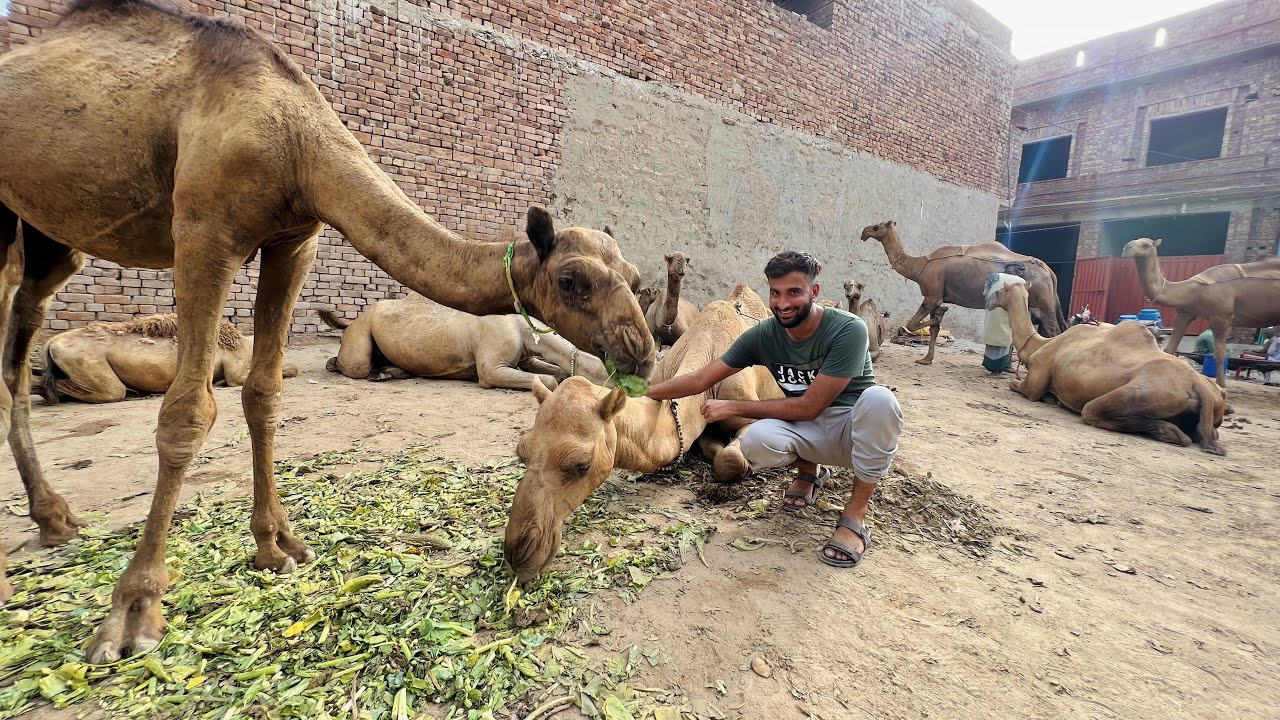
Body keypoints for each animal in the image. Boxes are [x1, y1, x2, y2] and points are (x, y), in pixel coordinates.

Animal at [318, 294, 609, 390]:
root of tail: (353, 320)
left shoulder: (525, 358)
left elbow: (555, 371)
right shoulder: (491, 369)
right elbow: (548, 380)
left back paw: (385, 374)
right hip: (362, 327)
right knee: (357, 365)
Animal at [860, 221, 1067, 365]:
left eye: (877, 226)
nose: (864, 231)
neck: (920, 265)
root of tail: (1049, 271)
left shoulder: (931, 295)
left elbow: (912, 324)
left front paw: (939, 318)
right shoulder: (937, 297)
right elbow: (934, 328)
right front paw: (926, 359)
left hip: (1043, 303)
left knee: (1053, 332)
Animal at [990, 278, 1225, 455]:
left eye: (999, 290)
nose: (989, 299)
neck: (1039, 344)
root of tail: (1200, 388)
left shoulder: (1036, 379)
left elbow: (1017, 385)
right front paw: (1053, 399)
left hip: (1145, 393)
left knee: (1094, 411)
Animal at [1121, 238, 1280, 389]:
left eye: (1146, 245)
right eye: (1133, 241)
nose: (1125, 249)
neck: (1193, 290)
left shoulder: (1221, 317)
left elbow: (1219, 354)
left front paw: (1221, 386)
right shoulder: (1185, 313)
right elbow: (1169, 349)